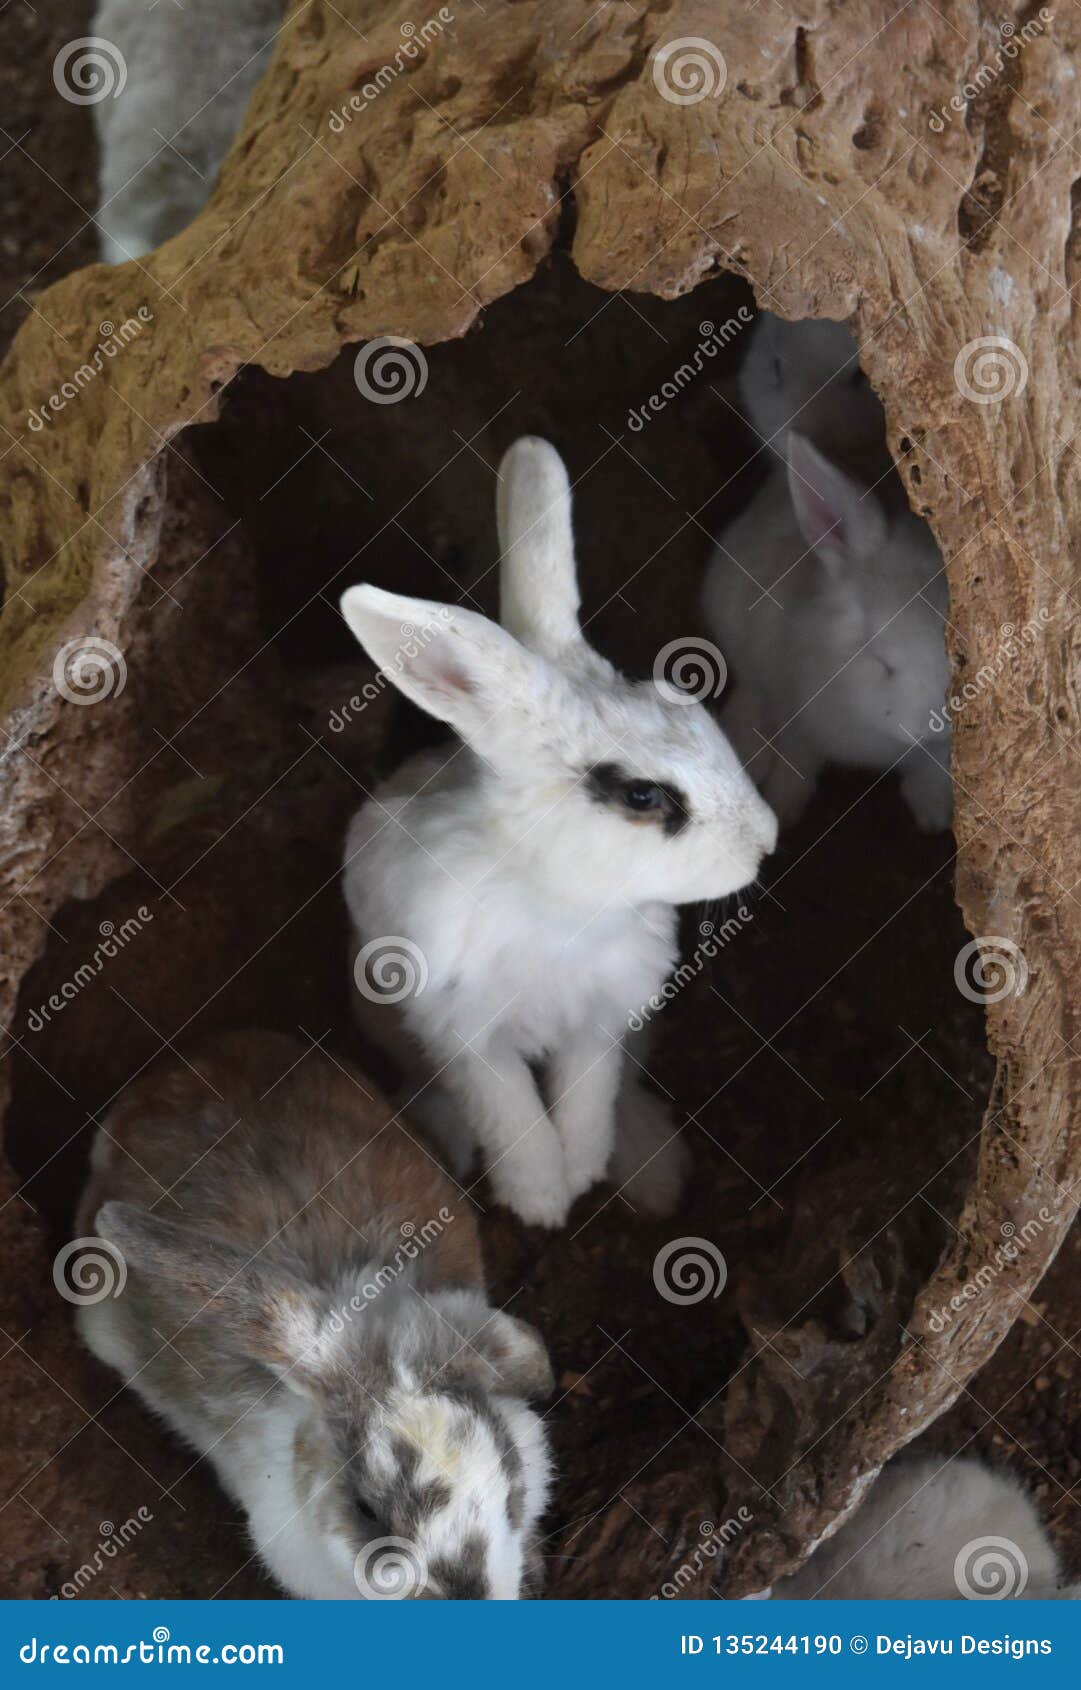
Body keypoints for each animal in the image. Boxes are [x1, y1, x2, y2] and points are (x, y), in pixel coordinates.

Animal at [339, 436, 778, 1231]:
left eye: (688, 704)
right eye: (642, 795)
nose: (766, 839)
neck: (558, 901)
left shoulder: (602, 1021)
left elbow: (585, 1101)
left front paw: (582, 1172)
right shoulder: (464, 1031)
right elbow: (509, 1112)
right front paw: (541, 1198)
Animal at [703, 428, 952, 833]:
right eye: (874, 651)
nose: (934, 724)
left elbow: (930, 771)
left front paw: (932, 814)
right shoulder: (796, 716)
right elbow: (797, 761)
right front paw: (782, 807)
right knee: (749, 688)